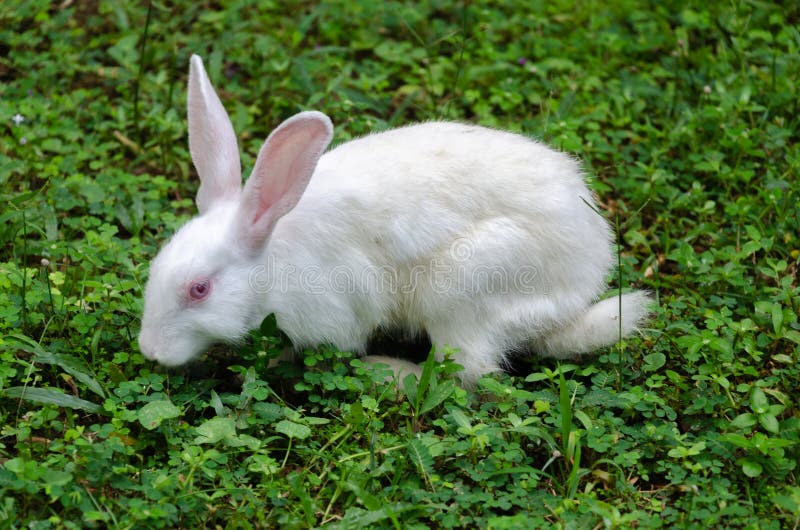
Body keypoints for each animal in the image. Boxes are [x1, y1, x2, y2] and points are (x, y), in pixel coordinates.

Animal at [138, 54, 651, 385]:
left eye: (199, 290)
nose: (150, 350)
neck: (271, 254)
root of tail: (577, 296)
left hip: (463, 285)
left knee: (465, 372)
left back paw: (387, 372)